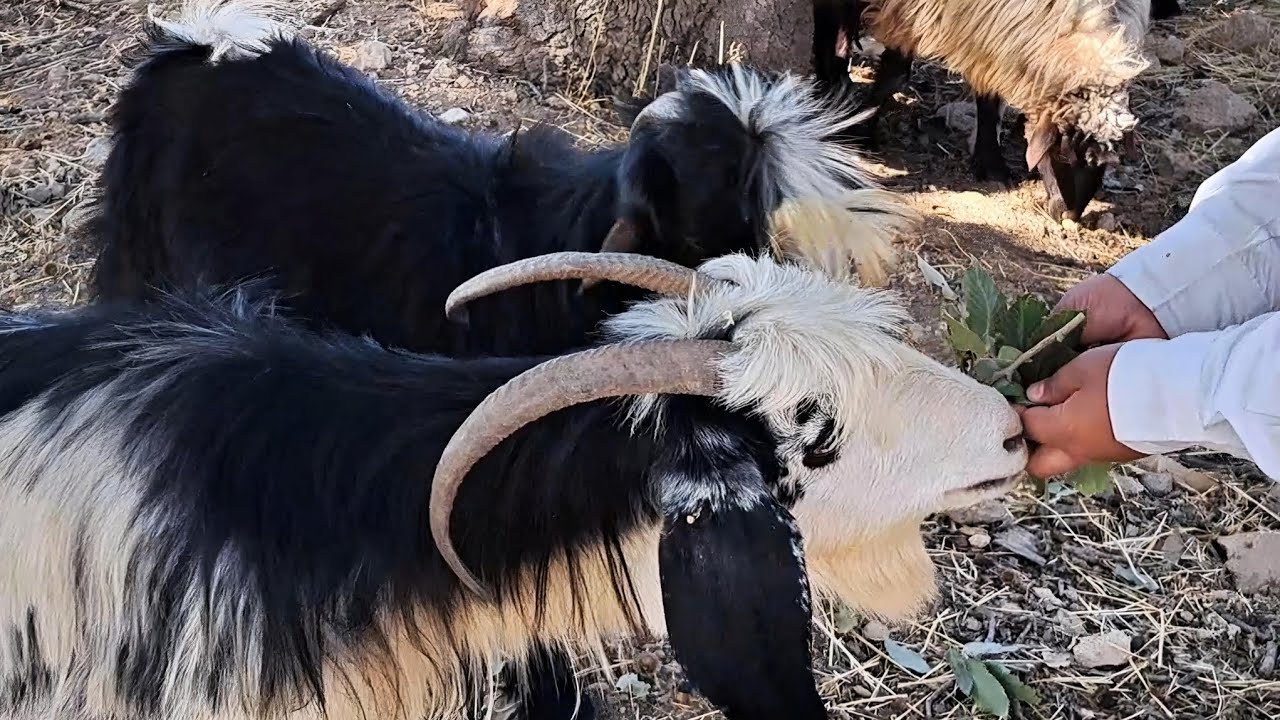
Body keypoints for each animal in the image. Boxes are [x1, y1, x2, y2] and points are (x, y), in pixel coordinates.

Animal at [813, 0, 1152, 221]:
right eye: (1063, 152)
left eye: (1107, 164)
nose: (1069, 215)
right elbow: (892, 71)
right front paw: (859, 129)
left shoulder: (988, 31)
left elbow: (989, 94)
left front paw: (991, 164)